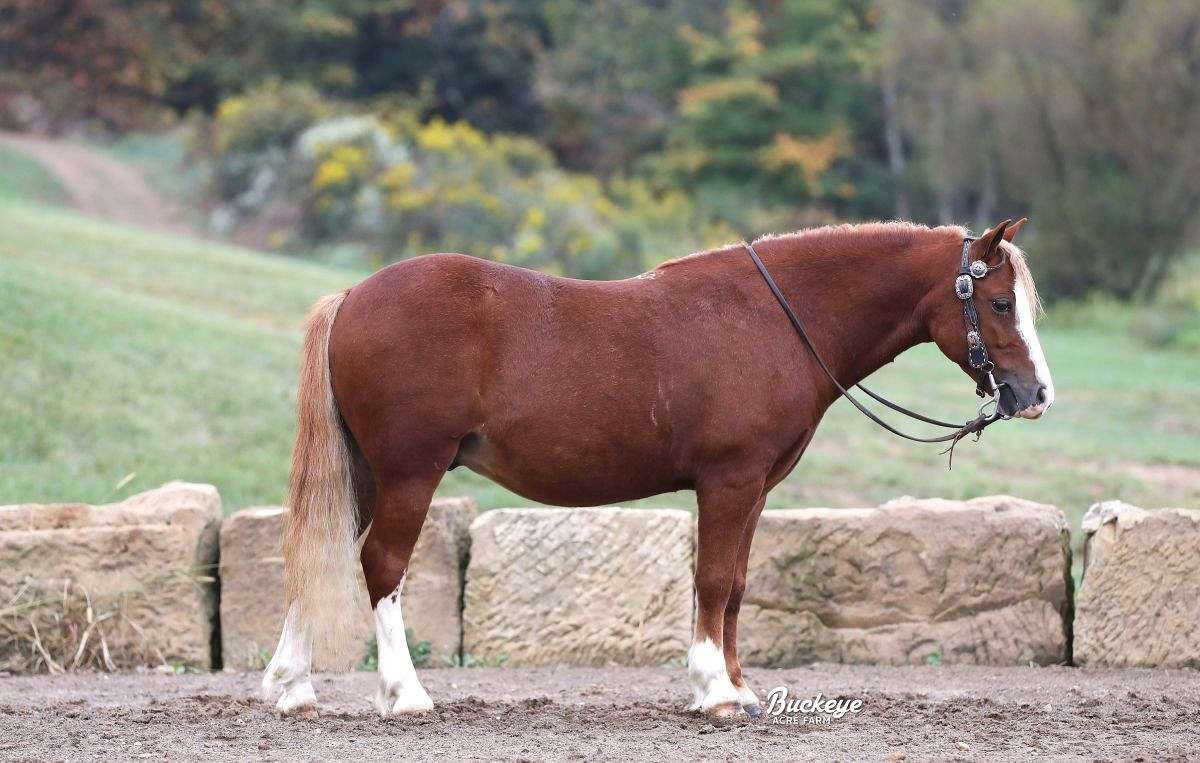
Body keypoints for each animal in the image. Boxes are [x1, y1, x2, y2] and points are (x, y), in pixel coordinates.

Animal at [261, 218, 1054, 720]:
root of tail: (354, 297)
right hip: (411, 474)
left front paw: (739, 686)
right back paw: (406, 694)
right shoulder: (729, 481)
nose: (1036, 394)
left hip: (367, 474)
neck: (776, 319)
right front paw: (716, 690)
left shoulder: (754, 489)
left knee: (322, 554)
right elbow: (713, 580)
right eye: (999, 302)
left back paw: (294, 687)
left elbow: (736, 585)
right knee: (383, 566)